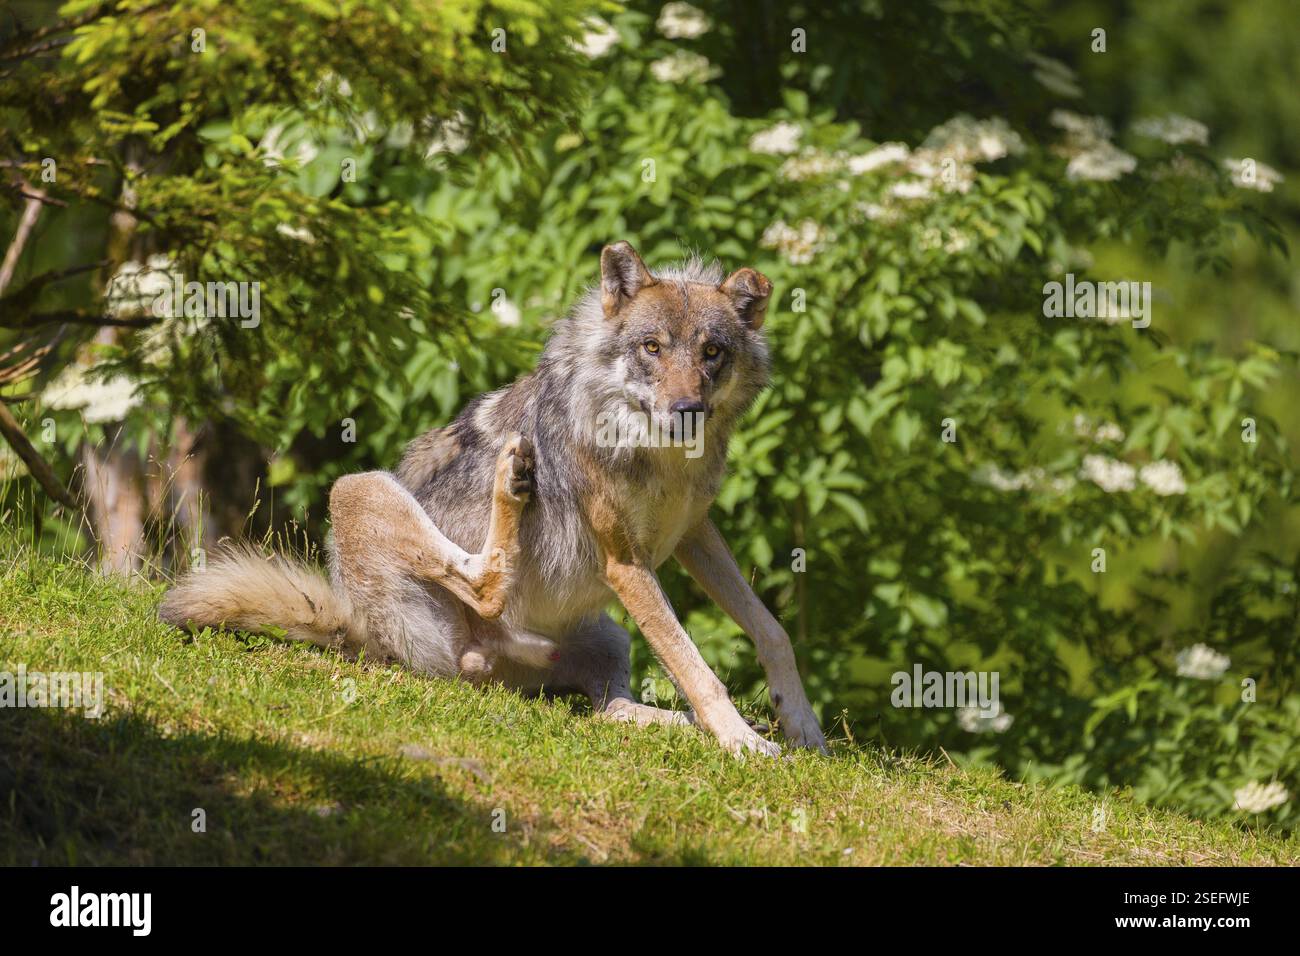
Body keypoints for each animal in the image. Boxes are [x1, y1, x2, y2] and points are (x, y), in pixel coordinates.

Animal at [160, 241, 827, 756]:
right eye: (653, 348)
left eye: (712, 352)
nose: (686, 410)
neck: (660, 461)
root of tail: (358, 630)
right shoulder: (626, 564)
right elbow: (698, 668)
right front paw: (742, 741)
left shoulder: (692, 534)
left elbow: (772, 633)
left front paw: (803, 729)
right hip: (358, 488)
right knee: (484, 584)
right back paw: (513, 478)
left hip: (607, 636)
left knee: (609, 708)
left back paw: (678, 723)